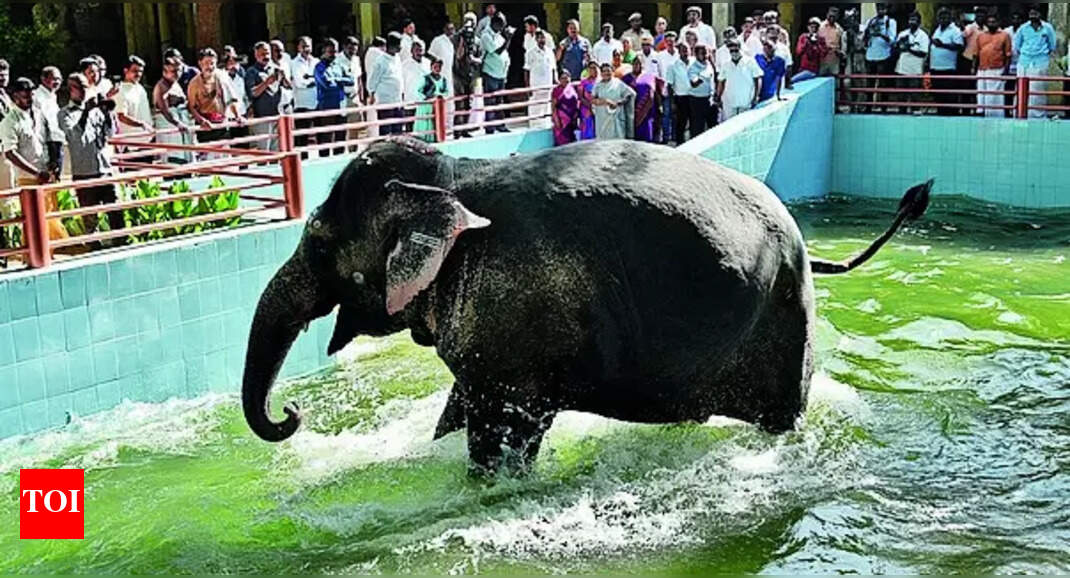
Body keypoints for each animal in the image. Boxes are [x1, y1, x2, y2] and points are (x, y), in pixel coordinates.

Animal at [243, 136, 931, 475]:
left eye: (320, 242)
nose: (291, 413)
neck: (453, 175)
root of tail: (808, 247)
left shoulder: (513, 317)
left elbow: (501, 434)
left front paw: (492, 487)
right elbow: (460, 407)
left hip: (785, 321)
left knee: (779, 419)